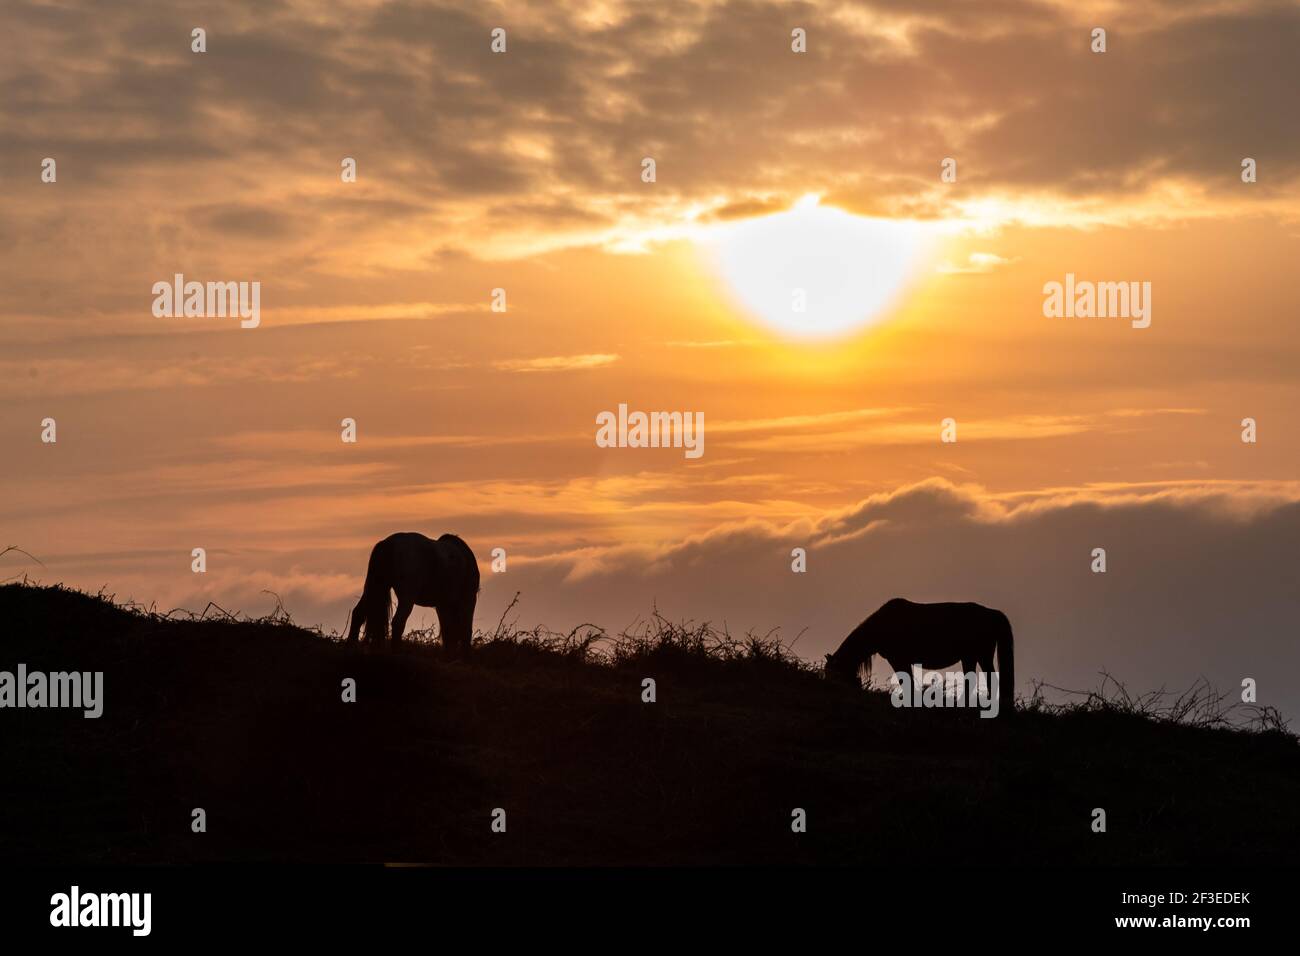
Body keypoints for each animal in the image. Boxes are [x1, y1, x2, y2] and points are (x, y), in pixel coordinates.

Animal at [347, 532, 480, 654]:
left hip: (375, 589)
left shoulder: (442, 605)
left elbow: (448, 631)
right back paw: (396, 652)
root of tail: (388, 544)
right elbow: (465, 630)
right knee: (398, 622)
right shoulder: (468, 599)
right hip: (407, 598)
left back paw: (350, 648)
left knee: (358, 614)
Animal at [825, 598, 1015, 713]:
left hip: (980, 655)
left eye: (833, 673)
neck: (882, 625)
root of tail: (992, 613)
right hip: (971, 657)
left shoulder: (898, 659)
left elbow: (907, 682)